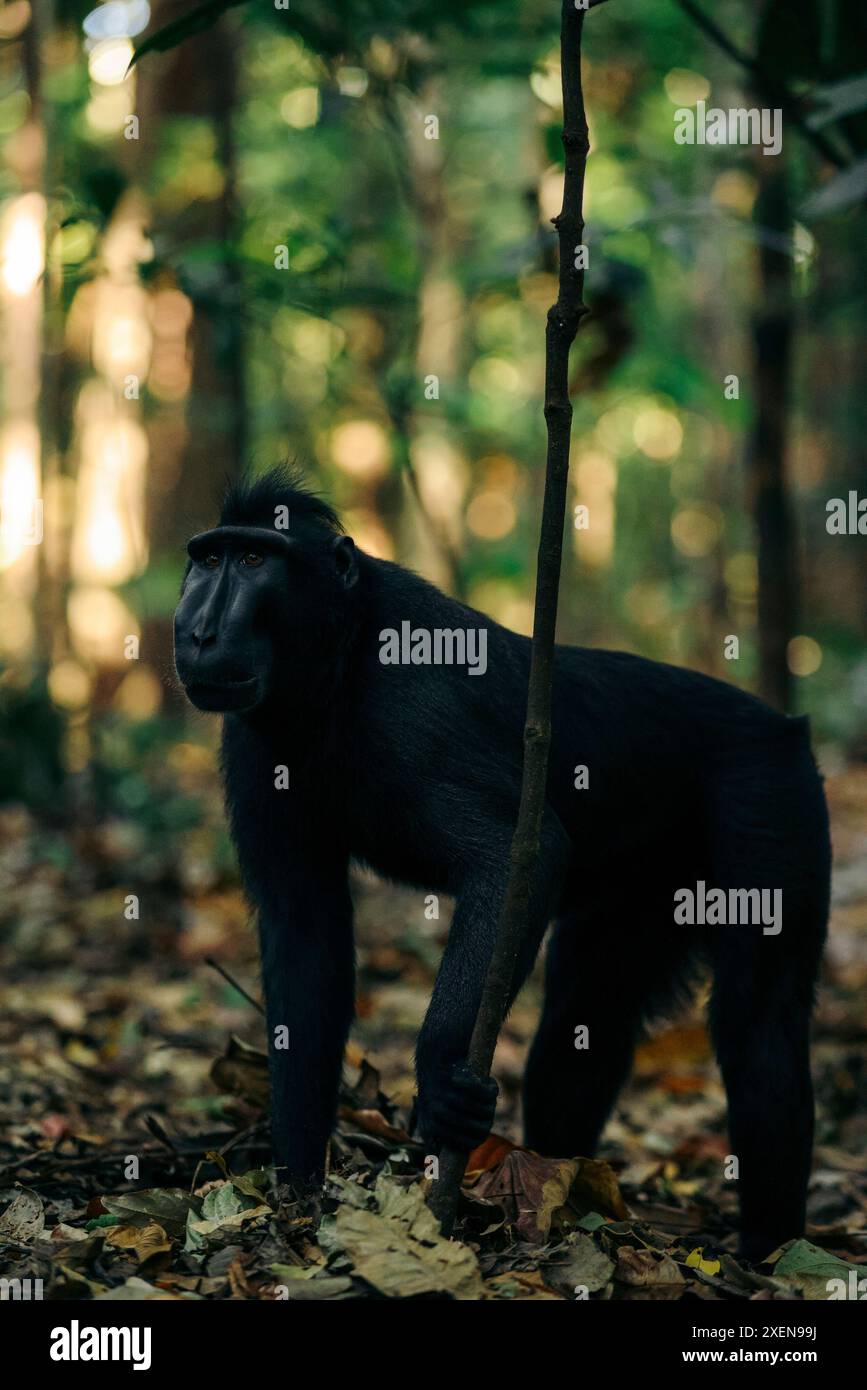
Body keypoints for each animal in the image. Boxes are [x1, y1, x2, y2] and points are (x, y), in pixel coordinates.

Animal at [173, 467, 830, 1261]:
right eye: (207, 559)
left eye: (253, 560)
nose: (198, 630)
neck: (339, 652)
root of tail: (781, 723)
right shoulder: (252, 743)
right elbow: (305, 940)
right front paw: (296, 1196)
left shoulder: (417, 693)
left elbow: (518, 853)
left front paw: (440, 1075)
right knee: (589, 1014)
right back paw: (561, 1191)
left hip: (769, 792)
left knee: (757, 1019)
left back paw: (771, 1252)